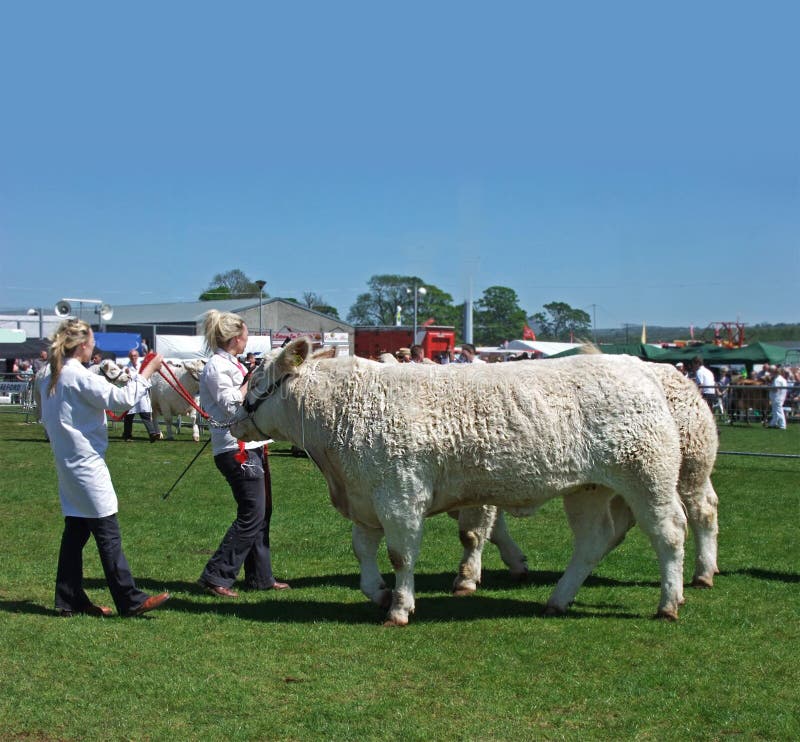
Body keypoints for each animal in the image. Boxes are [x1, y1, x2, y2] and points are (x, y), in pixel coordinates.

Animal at [230, 339, 688, 626]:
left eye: (255, 380)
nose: (232, 419)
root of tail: (637, 368)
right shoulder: (365, 497)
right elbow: (362, 549)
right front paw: (377, 592)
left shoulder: (400, 494)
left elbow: (401, 555)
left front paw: (399, 608)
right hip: (588, 489)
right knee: (593, 540)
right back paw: (558, 600)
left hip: (648, 476)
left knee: (669, 533)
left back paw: (668, 603)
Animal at [452, 361, 719, 602]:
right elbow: (494, 531)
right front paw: (516, 562)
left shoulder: (479, 494)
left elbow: (472, 534)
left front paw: (466, 579)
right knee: (615, 528)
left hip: (688, 471)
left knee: (702, 513)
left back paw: (703, 573)